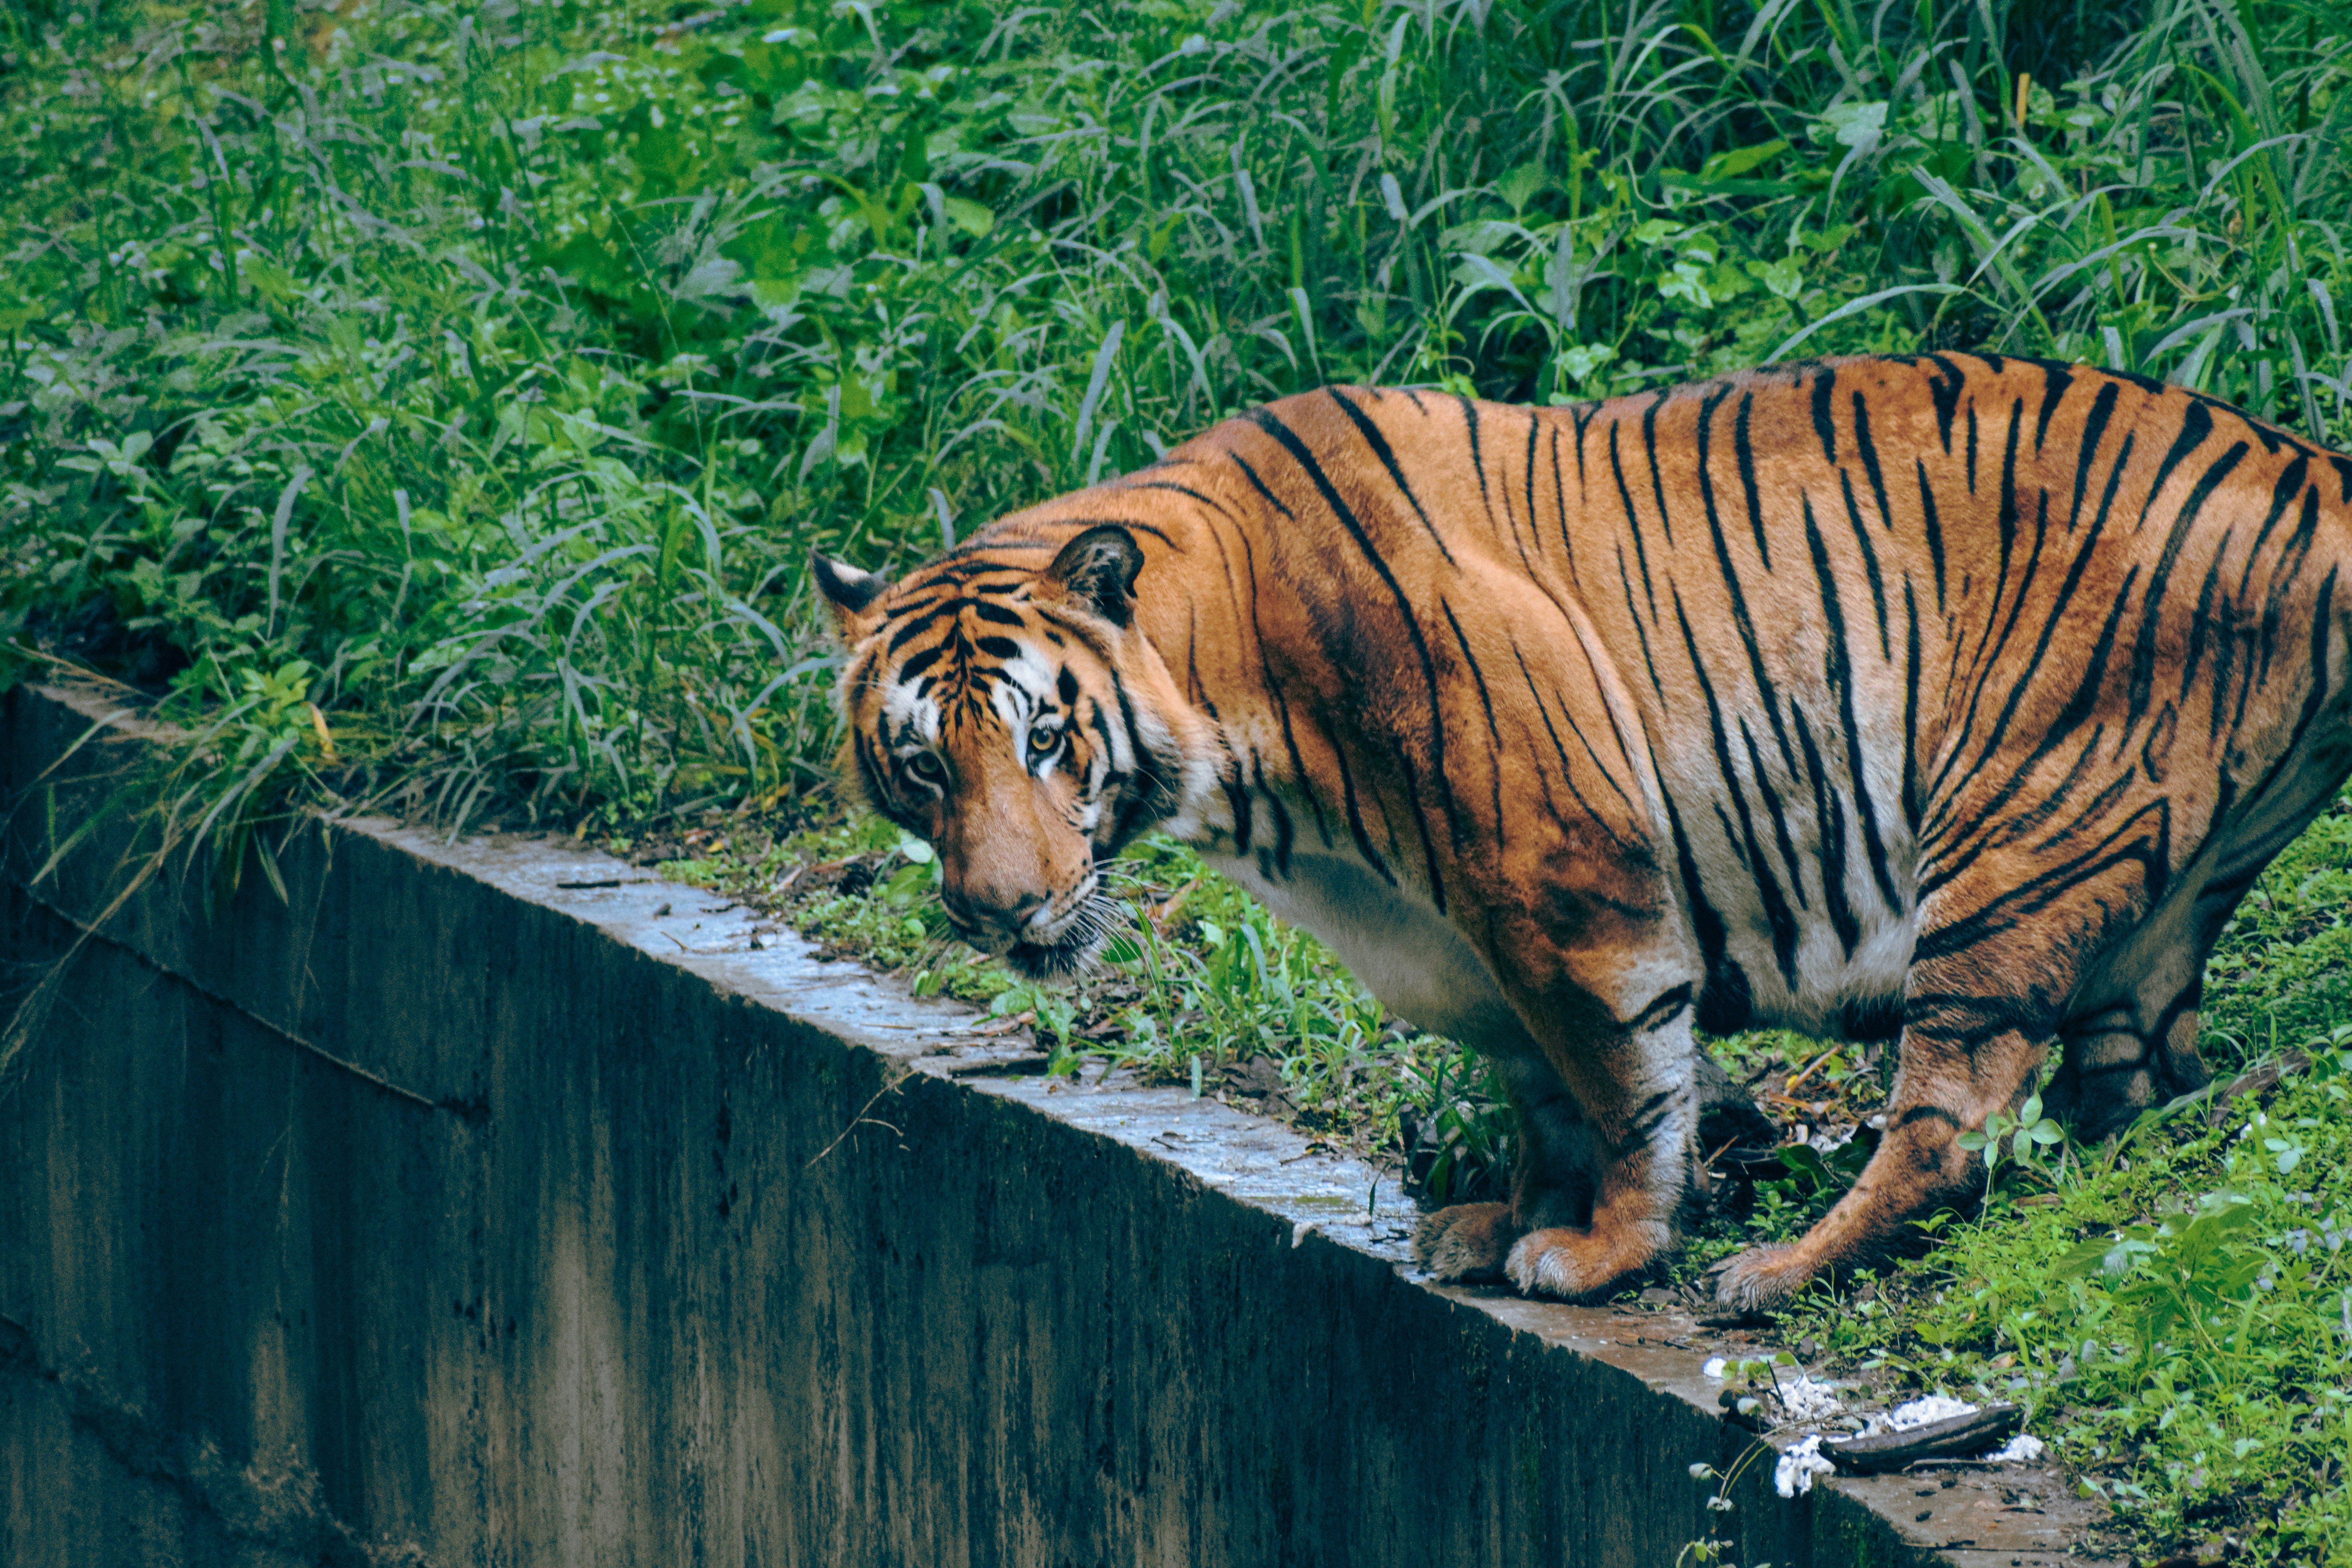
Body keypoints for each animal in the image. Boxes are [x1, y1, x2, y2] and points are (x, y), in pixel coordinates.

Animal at [813, 353, 2352, 1309]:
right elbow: (1540, 1089)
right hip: (2158, 876)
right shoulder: (1464, 939)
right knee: (2121, 1088)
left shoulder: (1560, 877)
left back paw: (1774, 1274)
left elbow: (1620, 1080)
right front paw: (1504, 1219)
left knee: (1954, 1120)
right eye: (920, 767)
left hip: (2010, 831)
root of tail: (2312, 468)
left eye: (1046, 741)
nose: (1000, 912)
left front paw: (1607, 1250)